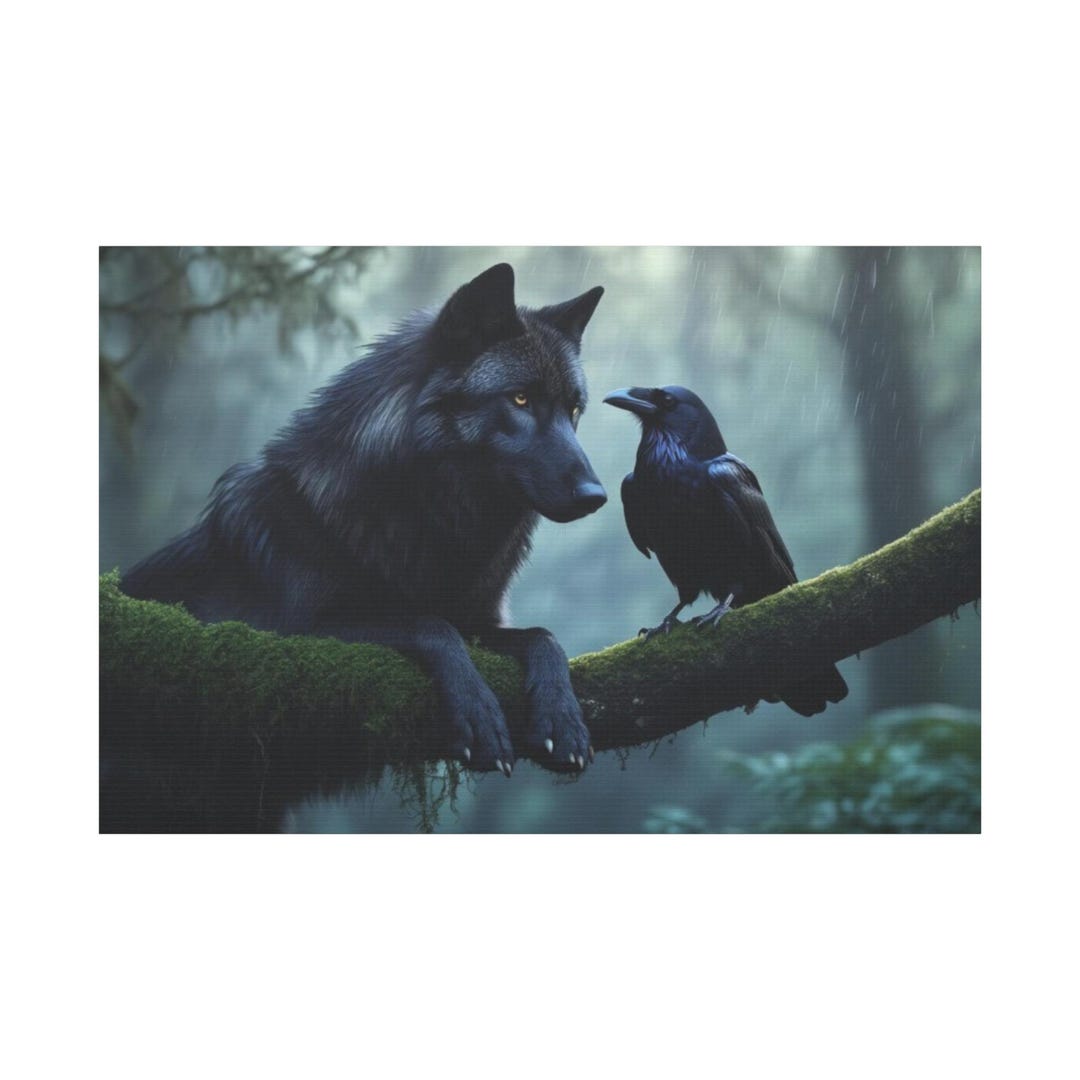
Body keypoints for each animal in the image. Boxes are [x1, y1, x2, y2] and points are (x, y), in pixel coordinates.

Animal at [122, 263, 607, 776]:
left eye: (574, 409)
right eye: (519, 400)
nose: (597, 496)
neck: (434, 521)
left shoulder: (480, 619)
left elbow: (543, 637)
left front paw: (563, 721)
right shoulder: (293, 631)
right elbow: (430, 625)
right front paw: (479, 718)